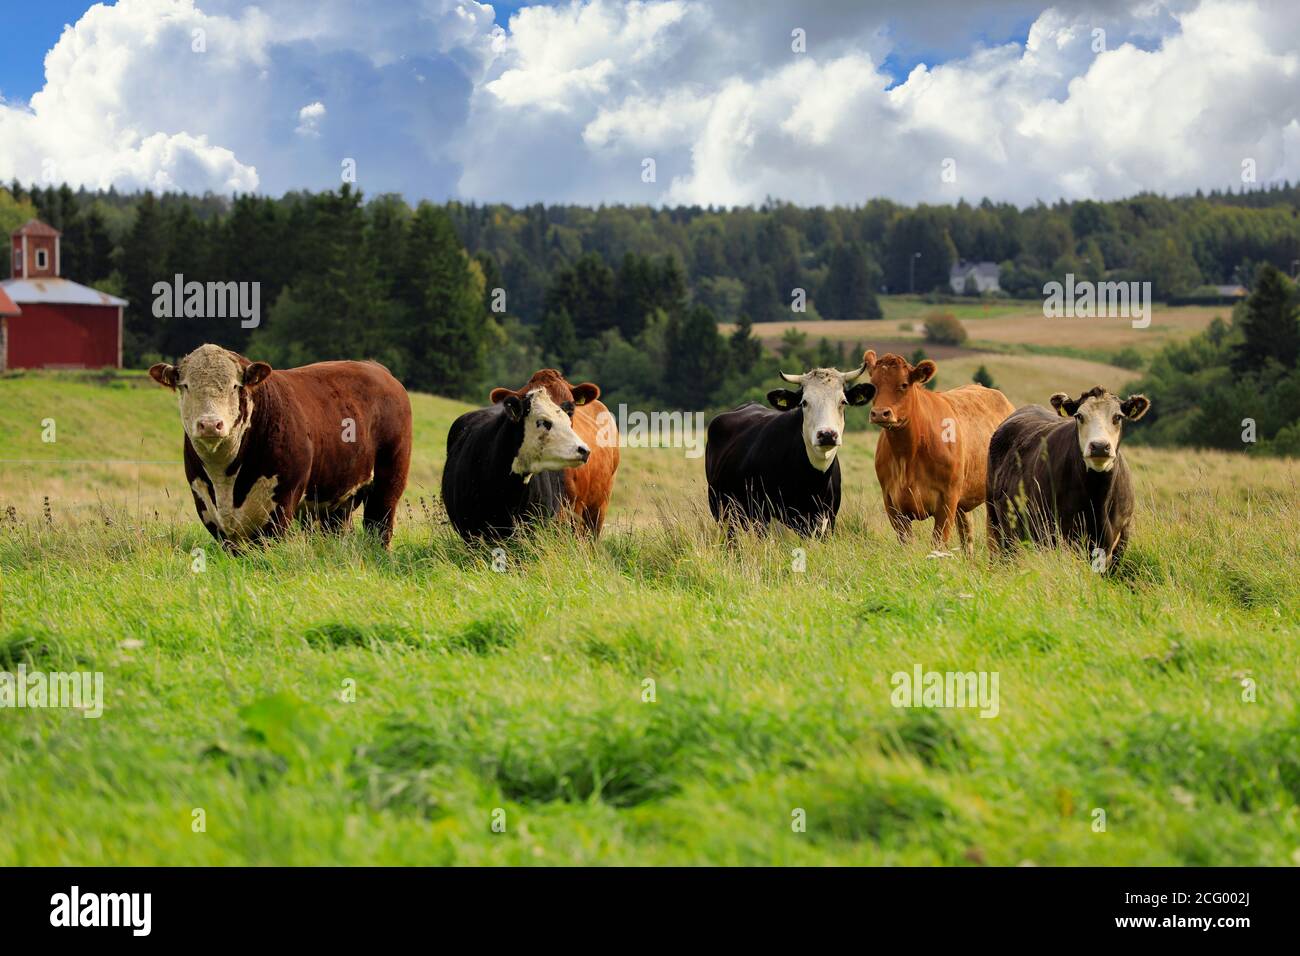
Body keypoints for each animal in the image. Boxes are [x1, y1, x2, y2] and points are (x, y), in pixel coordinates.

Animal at [149, 343, 413, 549]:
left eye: (235, 386)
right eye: (185, 386)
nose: (210, 424)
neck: (225, 478)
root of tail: (376, 368)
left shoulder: (282, 502)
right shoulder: (206, 504)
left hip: (388, 483)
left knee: (379, 526)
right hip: (335, 499)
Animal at [705, 364, 875, 535]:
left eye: (843, 401)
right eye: (804, 402)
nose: (827, 434)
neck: (814, 484)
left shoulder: (828, 522)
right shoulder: (765, 519)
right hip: (725, 516)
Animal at [862, 350, 1015, 555]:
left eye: (903, 384)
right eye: (873, 385)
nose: (880, 413)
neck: (908, 455)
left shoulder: (947, 500)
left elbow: (938, 542)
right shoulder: (892, 503)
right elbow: (906, 544)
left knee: (993, 534)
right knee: (967, 533)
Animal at [986, 386, 1150, 570]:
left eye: (1118, 417)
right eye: (1079, 416)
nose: (1099, 446)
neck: (1097, 500)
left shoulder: (1121, 537)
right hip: (996, 521)